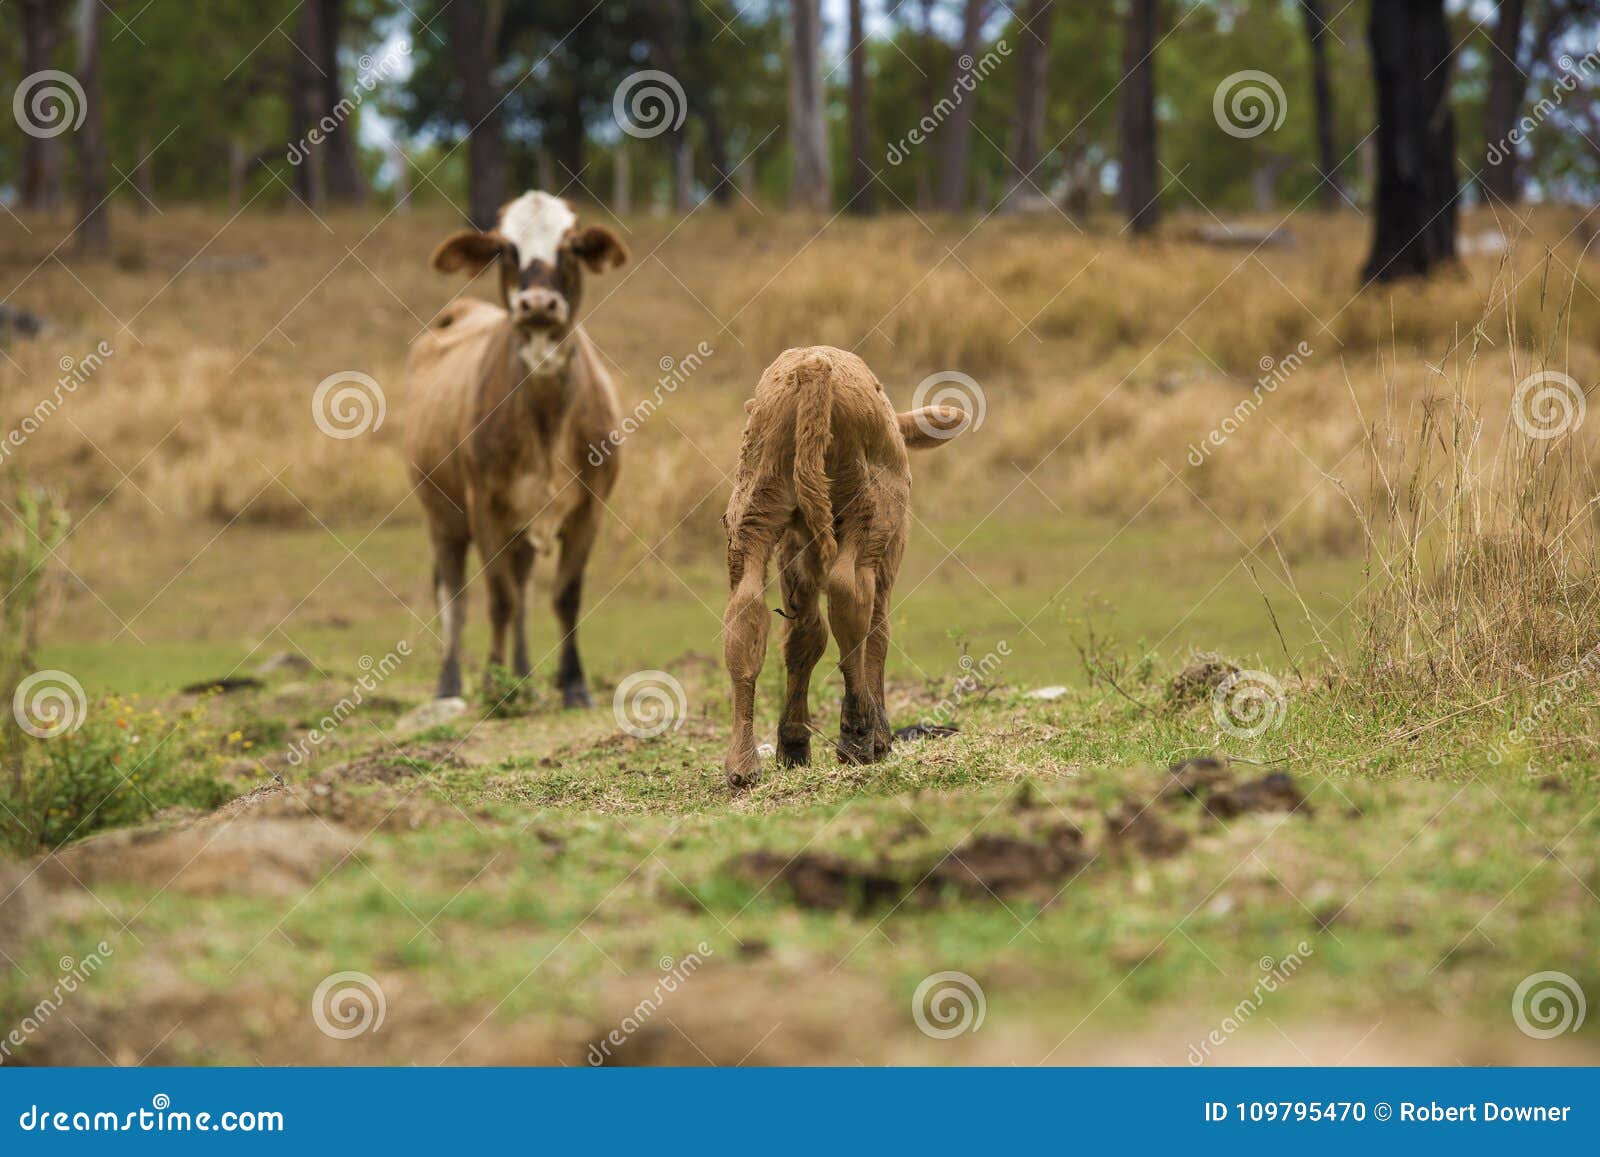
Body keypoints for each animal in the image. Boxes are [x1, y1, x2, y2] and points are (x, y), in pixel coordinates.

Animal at [405, 191, 629, 707]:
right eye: (505, 249)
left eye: (571, 246)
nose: (538, 303)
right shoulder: (484, 507)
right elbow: (498, 598)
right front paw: (493, 684)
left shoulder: (590, 508)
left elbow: (564, 596)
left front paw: (573, 684)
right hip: (441, 517)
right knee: (455, 598)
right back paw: (451, 685)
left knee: (524, 591)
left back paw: (524, 678)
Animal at [720, 347, 970, 789]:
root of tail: (814, 367)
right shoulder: (886, 562)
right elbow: (878, 633)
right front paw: (881, 737)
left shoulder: (794, 556)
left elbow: (803, 640)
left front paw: (793, 744)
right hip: (869, 513)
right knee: (850, 599)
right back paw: (858, 735)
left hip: (754, 506)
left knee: (745, 614)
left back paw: (743, 765)